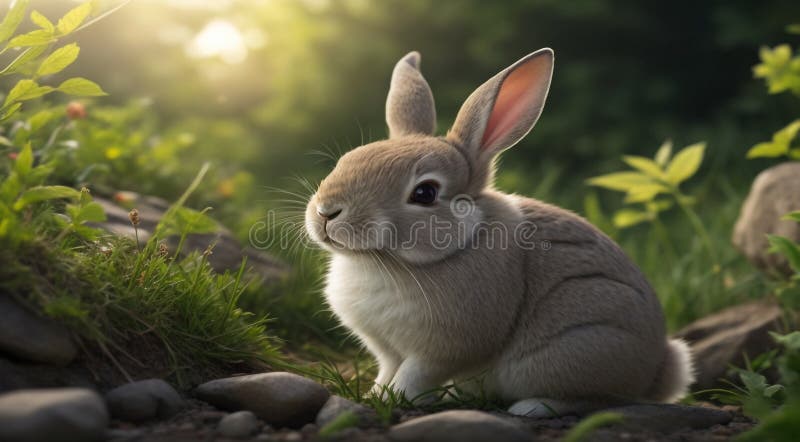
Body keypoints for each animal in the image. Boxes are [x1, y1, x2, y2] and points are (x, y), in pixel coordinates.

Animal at [304, 48, 694, 417]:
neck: (386, 261)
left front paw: (393, 399)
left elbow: (413, 376)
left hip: (579, 350)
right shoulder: (387, 350)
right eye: (348, 159)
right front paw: (375, 394)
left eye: (425, 193)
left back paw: (532, 407)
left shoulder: (442, 349)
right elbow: (388, 369)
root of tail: (659, 368)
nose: (326, 212)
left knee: (601, 399)